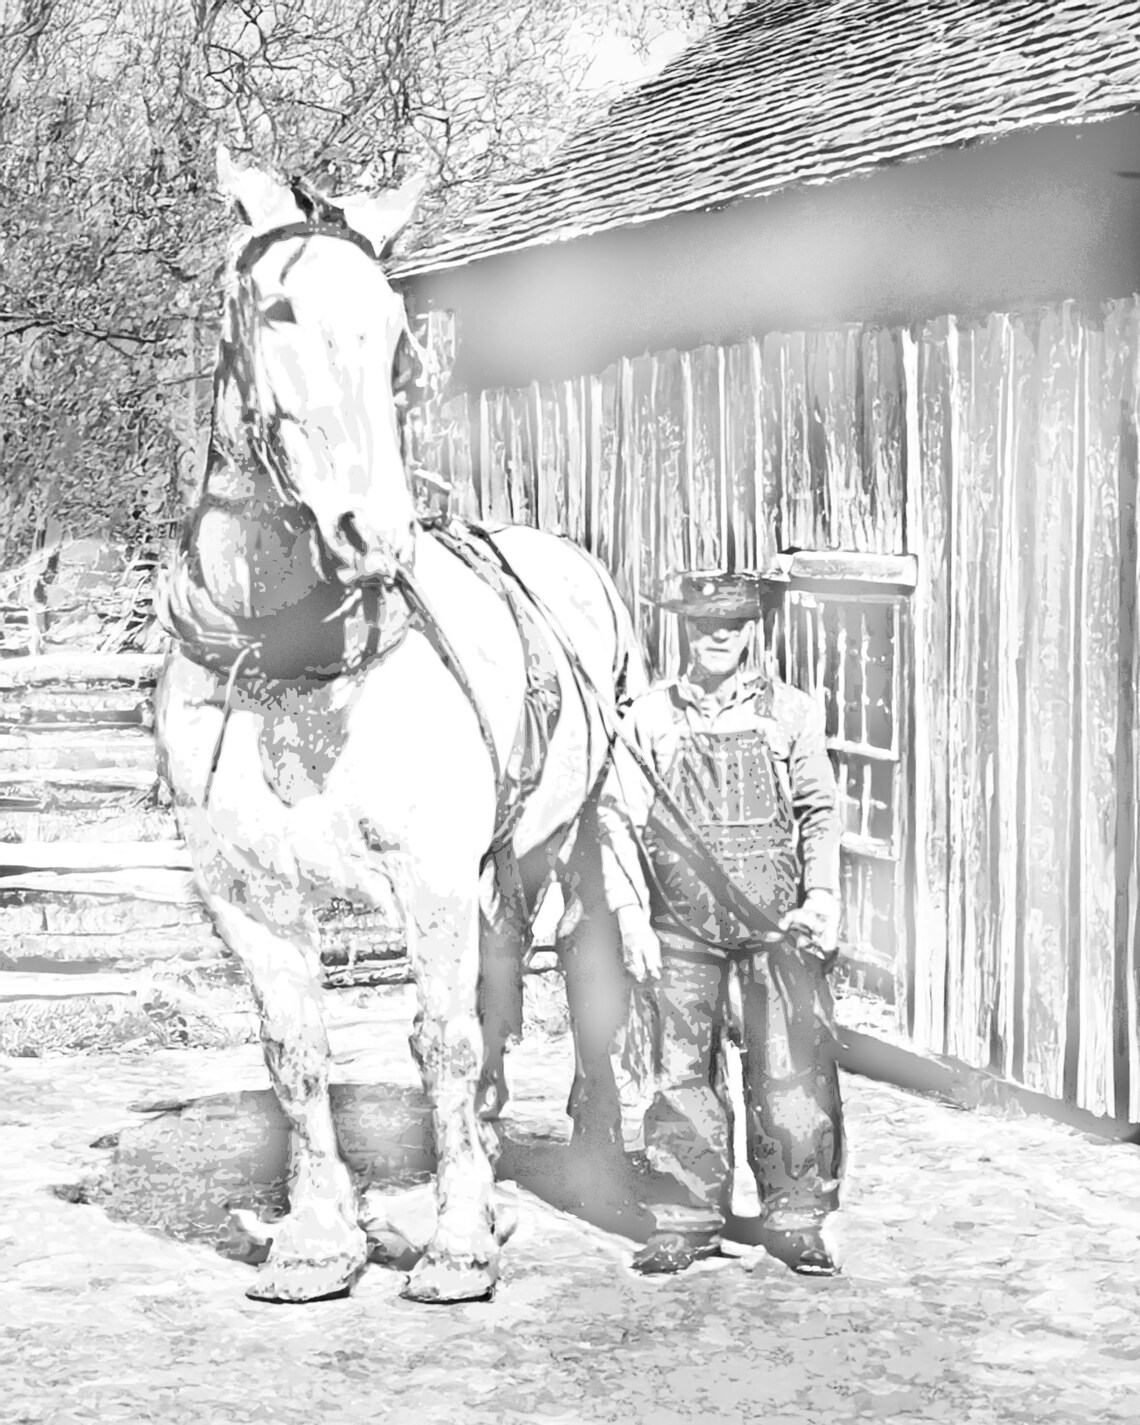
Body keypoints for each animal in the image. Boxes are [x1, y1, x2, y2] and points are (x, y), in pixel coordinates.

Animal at [153, 148, 649, 1305]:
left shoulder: (429, 876)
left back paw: (577, 1154)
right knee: (503, 978)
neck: (290, 668)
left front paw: (460, 1242)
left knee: (575, 973)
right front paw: (317, 1240)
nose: (373, 534)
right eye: (279, 308)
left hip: (566, 837)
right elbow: (297, 1055)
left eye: (390, 327)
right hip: (501, 862)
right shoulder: (248, 896)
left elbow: (443, 1042)